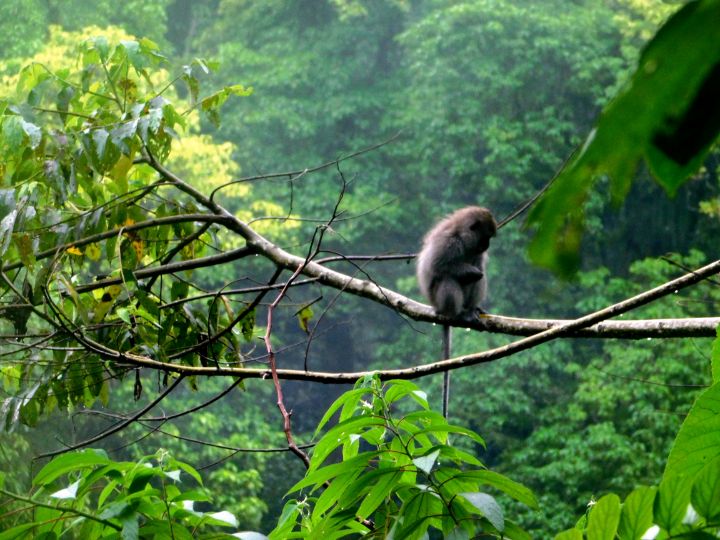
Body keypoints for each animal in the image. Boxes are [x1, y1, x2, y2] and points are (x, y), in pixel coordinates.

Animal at [416, 206, 497, 418]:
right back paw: (457, 313)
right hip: (439, 300)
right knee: (448, 279)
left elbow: (478, 269)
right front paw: (468, 271)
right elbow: (439, 266)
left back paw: (471, 309)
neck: (463, 238)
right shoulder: (449, 242)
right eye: (486, 236)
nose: (487, 245)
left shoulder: (476, 252)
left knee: (478, 278)